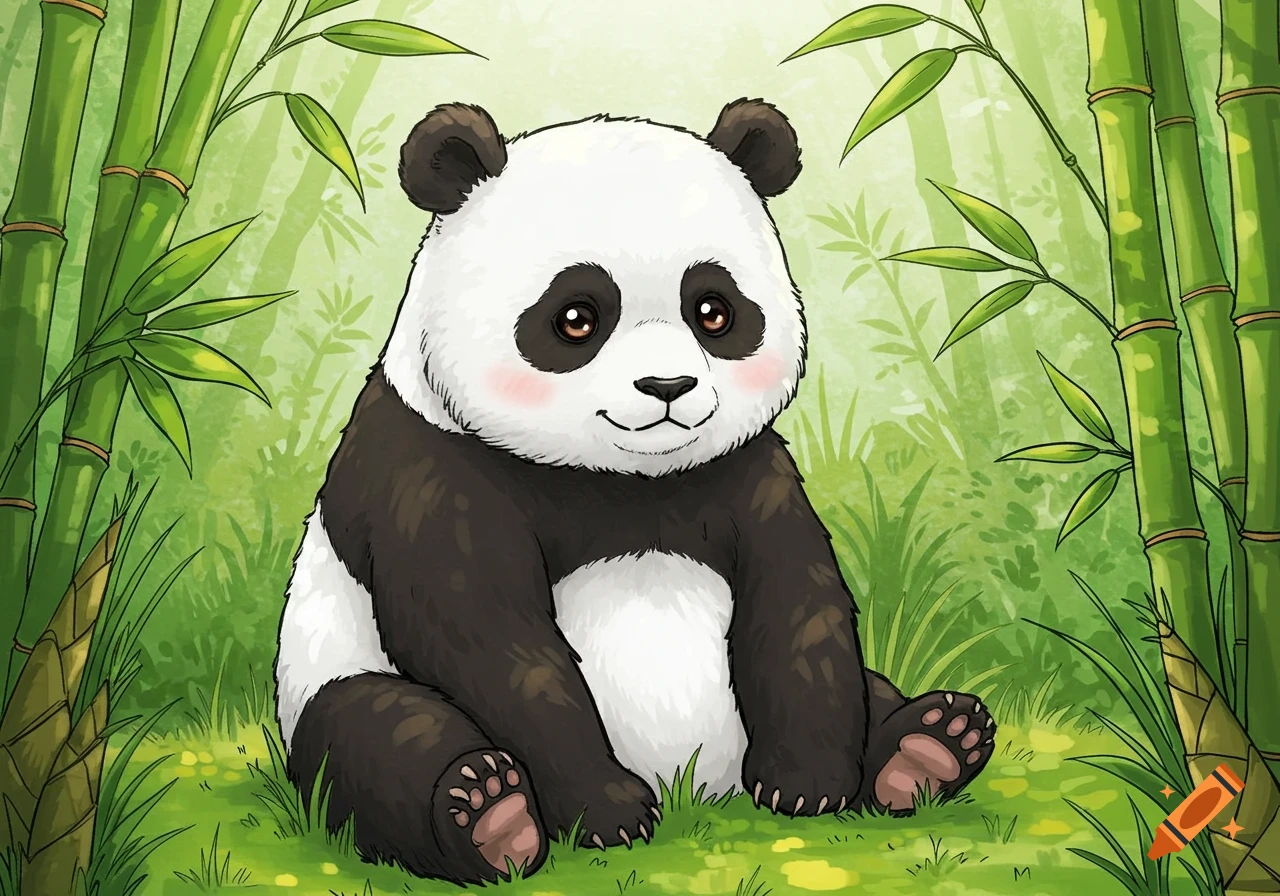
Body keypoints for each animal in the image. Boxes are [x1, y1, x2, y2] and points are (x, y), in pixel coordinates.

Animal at [273, 98, 996, 885]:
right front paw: (606, 812)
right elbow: (485, 638)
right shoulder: (430, 465)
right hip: (332, 680)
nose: (667, 386)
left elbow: (799, 601)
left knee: (869, 688)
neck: (627, 482)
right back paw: (492, 815)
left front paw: (808, 783)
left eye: (713, 310)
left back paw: (928, 746)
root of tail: (703, 785)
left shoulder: (746, 468)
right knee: (376, 732)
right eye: (576, 318)